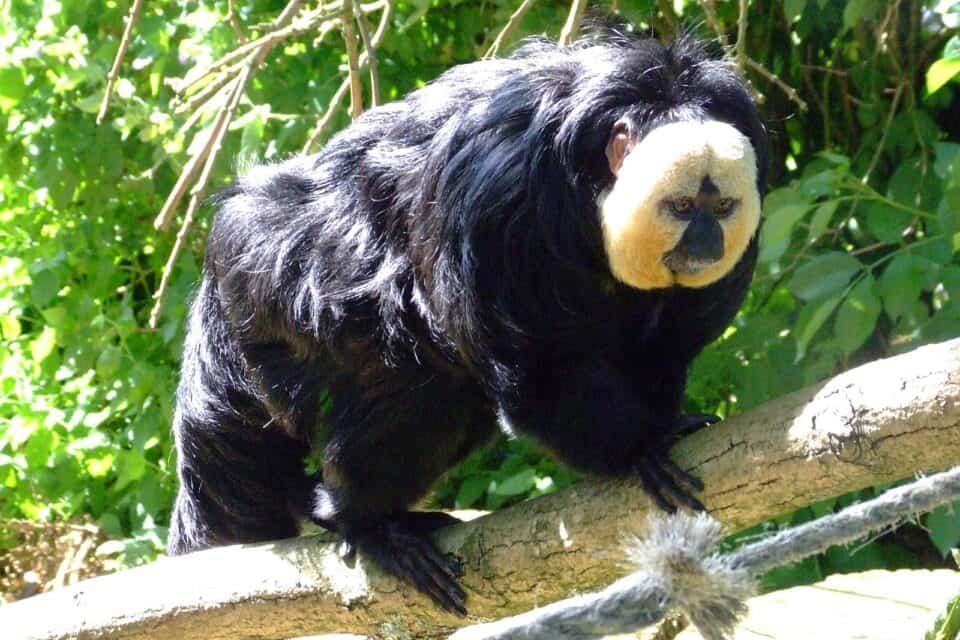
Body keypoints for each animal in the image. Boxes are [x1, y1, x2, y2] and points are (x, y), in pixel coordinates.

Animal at [167, 27, 768, 616]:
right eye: (685, 207)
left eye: (721, 210)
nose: (708, 242)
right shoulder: (501, 196)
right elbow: (541, 373)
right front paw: (640, 446)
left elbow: (661, 351)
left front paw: (663, 422)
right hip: (276, 288)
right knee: (424, 387)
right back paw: (362, 518)